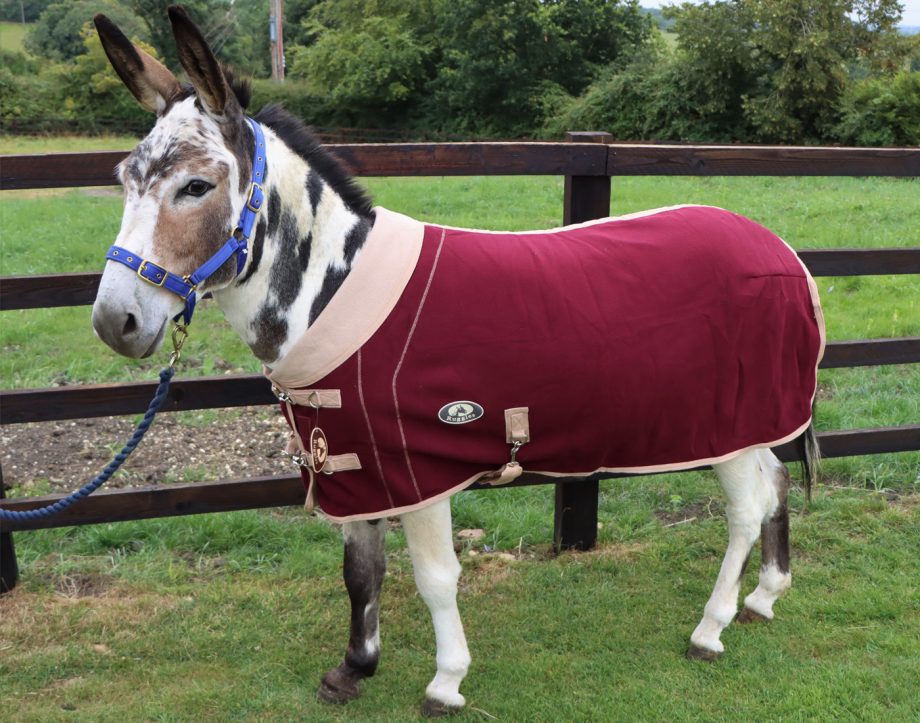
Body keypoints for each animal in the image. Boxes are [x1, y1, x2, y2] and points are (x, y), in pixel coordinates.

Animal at [90, 7, 824, 715]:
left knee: (746, 509)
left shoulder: (419, 470)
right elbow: (361, 572)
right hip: (749, 420)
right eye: (125, 180)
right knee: (776, 483)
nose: (113, 322)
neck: (335, 290)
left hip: (731, 422)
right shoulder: (351, 462)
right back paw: (764, 596)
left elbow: (435, 579)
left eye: (195, 186)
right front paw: (354, 668)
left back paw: (711, 625)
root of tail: (779, 249)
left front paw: (445, 682)